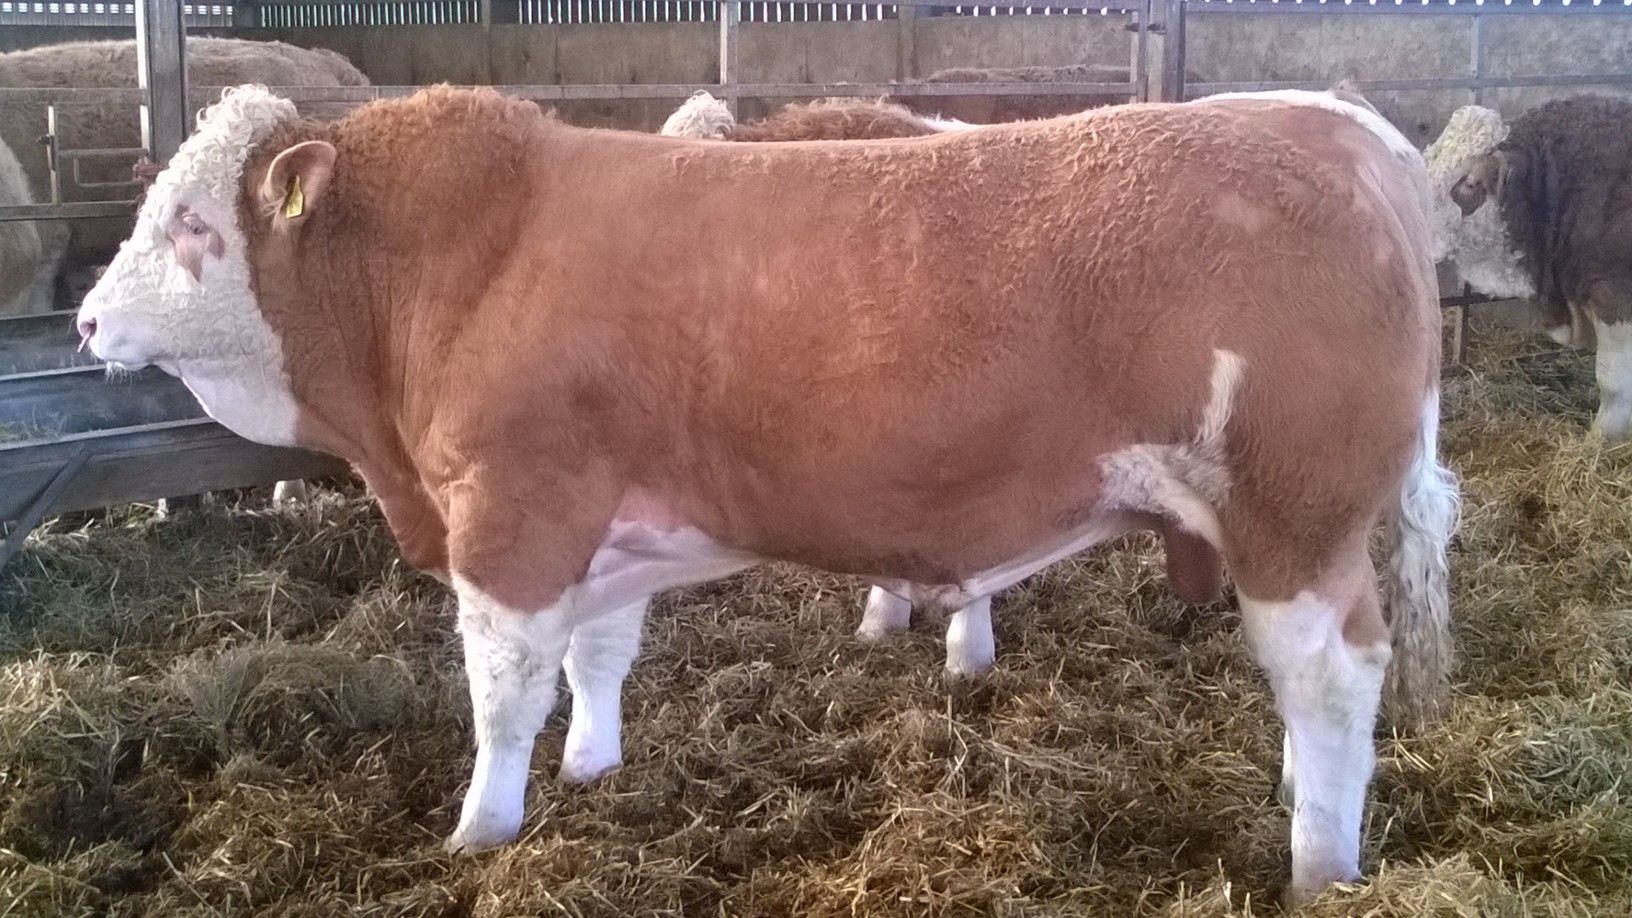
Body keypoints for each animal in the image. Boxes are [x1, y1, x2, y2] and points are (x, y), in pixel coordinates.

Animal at [76, 84, 1457, 904]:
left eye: (193, 224)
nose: (86, 319)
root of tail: (1335, 128)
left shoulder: (511, 518)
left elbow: (503, 692)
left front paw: (480, 831)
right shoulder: (605, 526)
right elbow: (597, 658)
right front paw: (594, 771)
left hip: (1297, 520)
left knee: (1333, 679)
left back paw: (1320, 862)